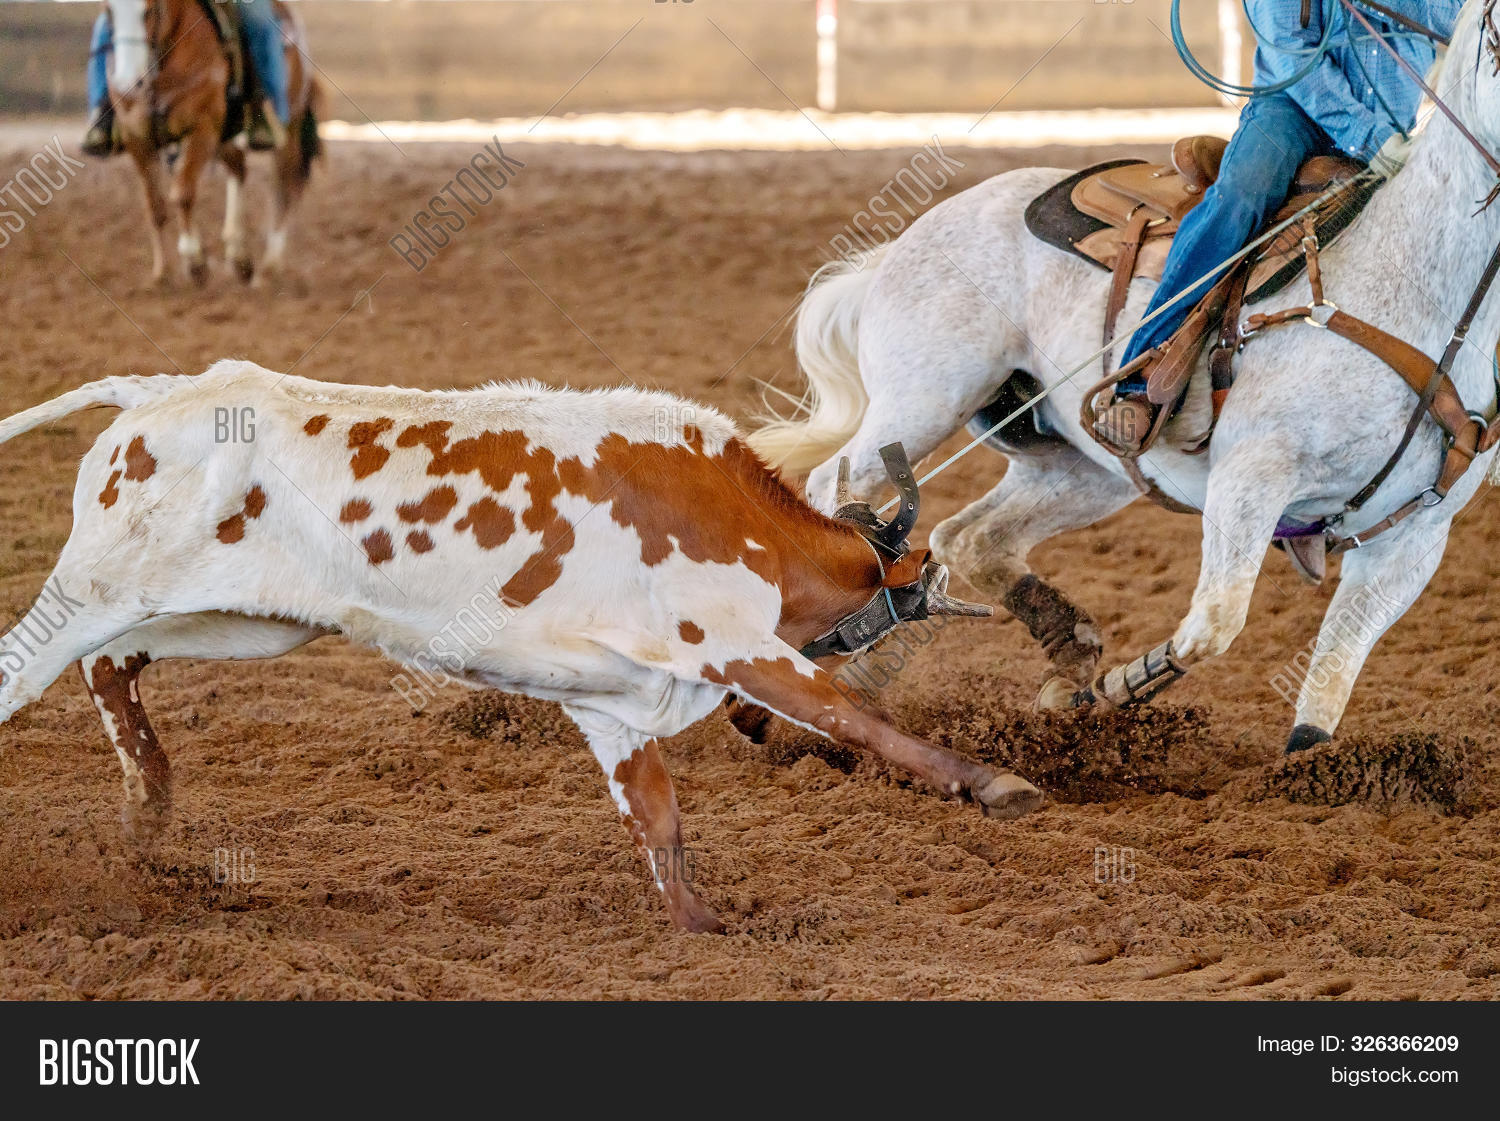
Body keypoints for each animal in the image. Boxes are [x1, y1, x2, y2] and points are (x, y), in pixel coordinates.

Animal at [0, 360, 1041, 931]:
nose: (753, 733)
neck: (737, 514)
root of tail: (172, 390)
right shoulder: (729, 643)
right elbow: (859, 722)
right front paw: (998, 785)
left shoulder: (613, 711)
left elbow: (658, 825)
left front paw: (706, 927)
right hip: (93, 589)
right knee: (28, 668)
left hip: (244, 621)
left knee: (114, 667)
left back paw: (149, 813)